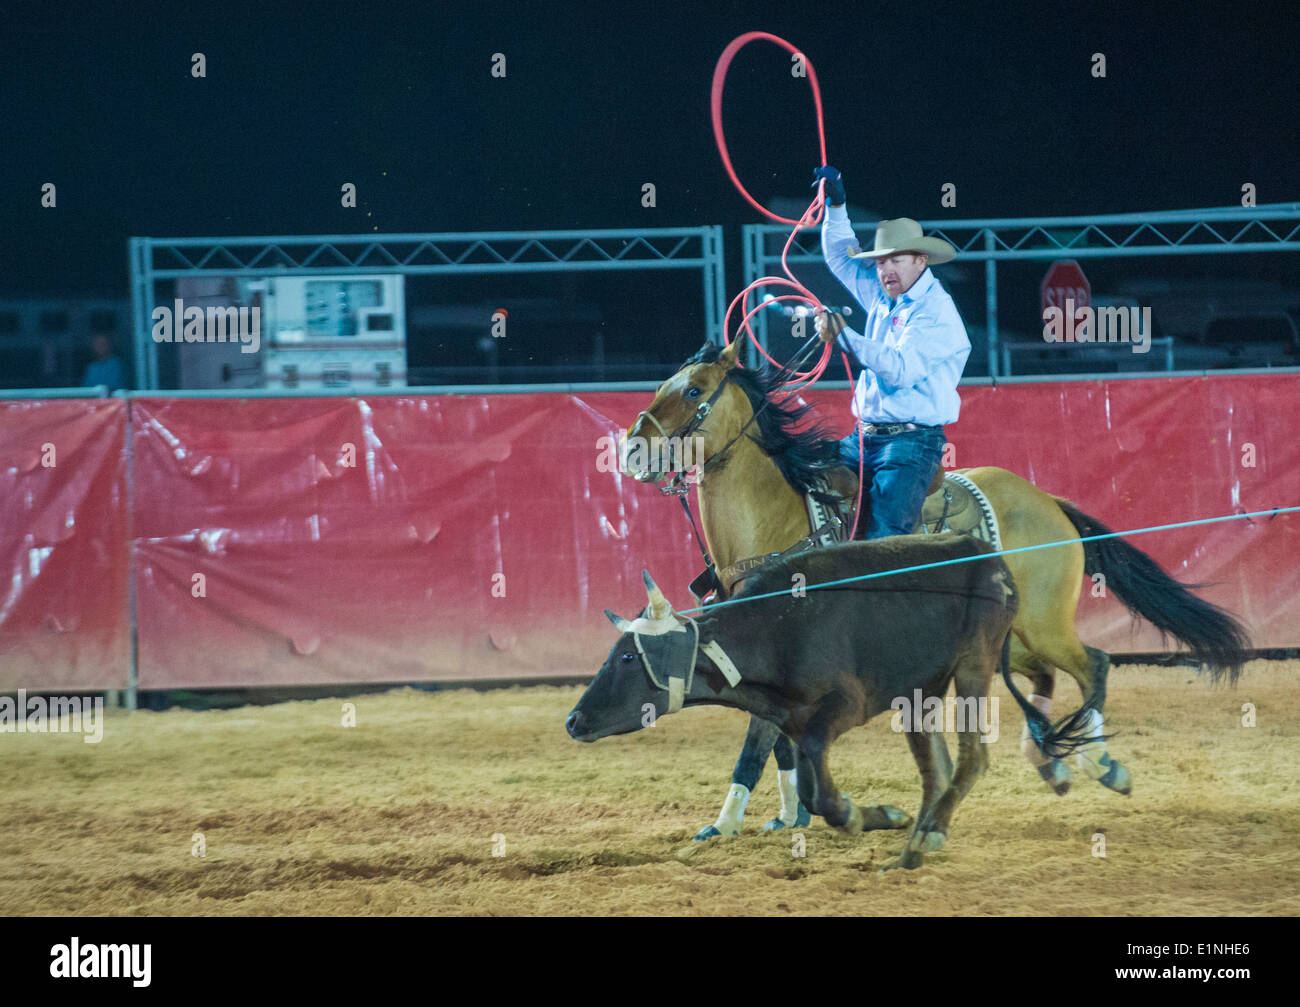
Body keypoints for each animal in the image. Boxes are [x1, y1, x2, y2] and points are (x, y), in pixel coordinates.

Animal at [566, 532, 1093, 869]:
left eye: (628, 657)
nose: (573, 720)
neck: (776, 628)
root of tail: (989, 554)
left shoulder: (843, 706)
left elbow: (818, 793)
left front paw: (860, 815)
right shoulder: (792, 722)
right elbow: (805, 786)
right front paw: (883, 816)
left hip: (973, 665)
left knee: (973, 756)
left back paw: (932, 832)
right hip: (920, 695)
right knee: (938, 771)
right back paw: (911, 849)